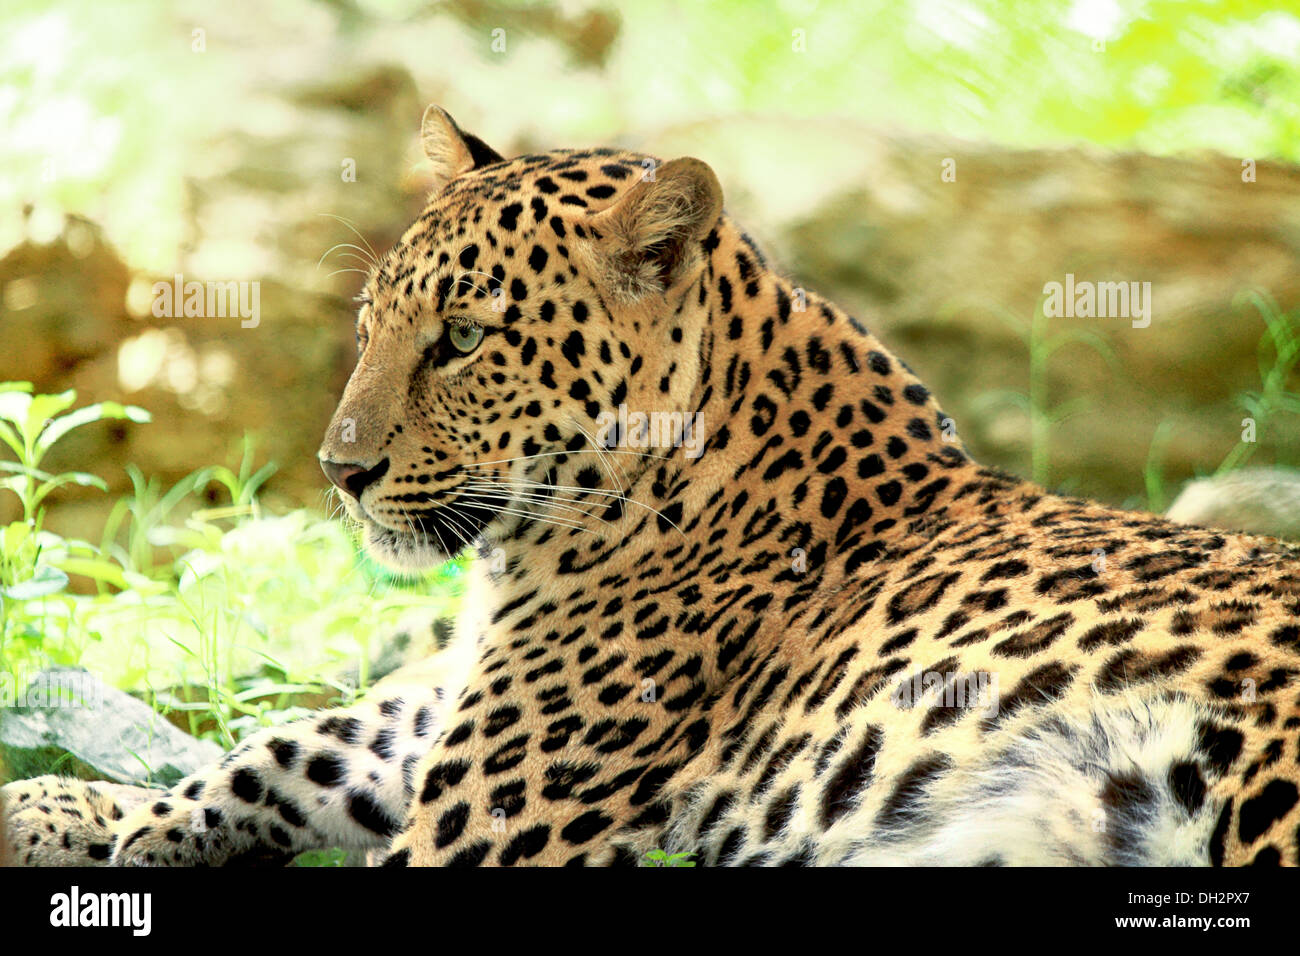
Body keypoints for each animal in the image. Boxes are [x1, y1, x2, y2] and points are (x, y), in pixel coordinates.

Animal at [5, 105, 1300, 868]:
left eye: (463, 338)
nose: (340, 469)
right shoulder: (451, 700)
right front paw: (84, 816)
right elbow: (288, 745)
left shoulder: (483, 833)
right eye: (373, 324)